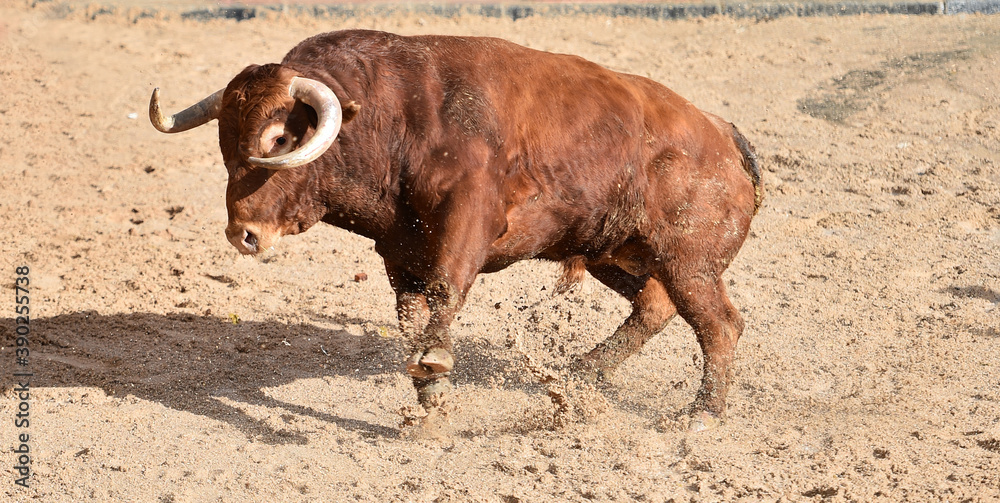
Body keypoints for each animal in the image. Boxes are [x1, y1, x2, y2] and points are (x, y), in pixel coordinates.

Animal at [149, 29, 763, 432]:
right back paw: (576, 378)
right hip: (617, 253)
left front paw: (436, 365)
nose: (243, 233)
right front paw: (431, 401)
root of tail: (723, 135)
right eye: (224, 141)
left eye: (278, 137)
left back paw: (700, 417)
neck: (393, 116)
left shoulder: (468, 222)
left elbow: (448, 289)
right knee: (656, 307)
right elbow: (411, 317)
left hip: (688, 263)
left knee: (719, 325)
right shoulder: (401, 255)